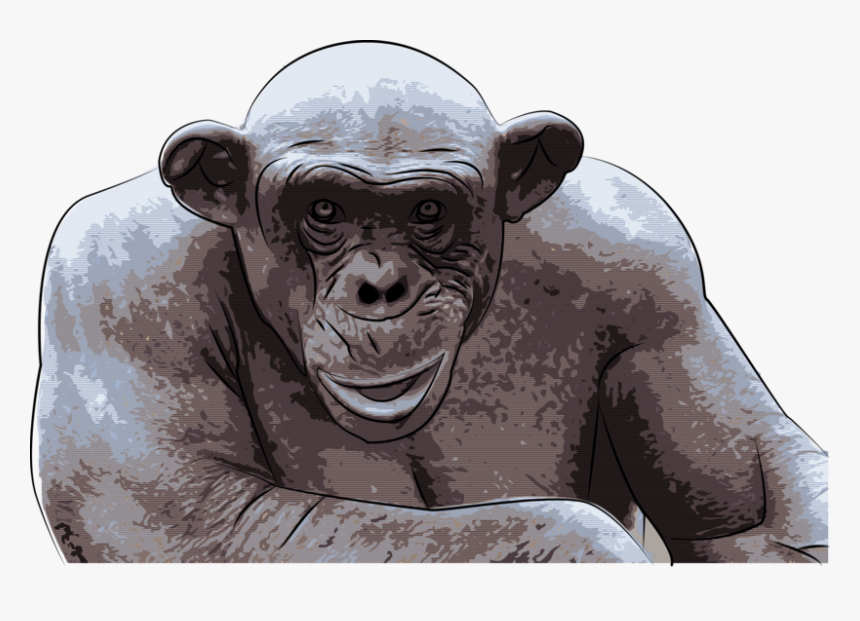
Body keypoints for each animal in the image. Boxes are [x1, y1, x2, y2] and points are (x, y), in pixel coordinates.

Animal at [33, 41, 827, 563]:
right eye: (324, 209)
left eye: (427, 212)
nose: (381, 286)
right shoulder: (116, 286)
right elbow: (197, 521)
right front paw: (582, 548)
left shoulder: (654, 271)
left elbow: (753, 523)